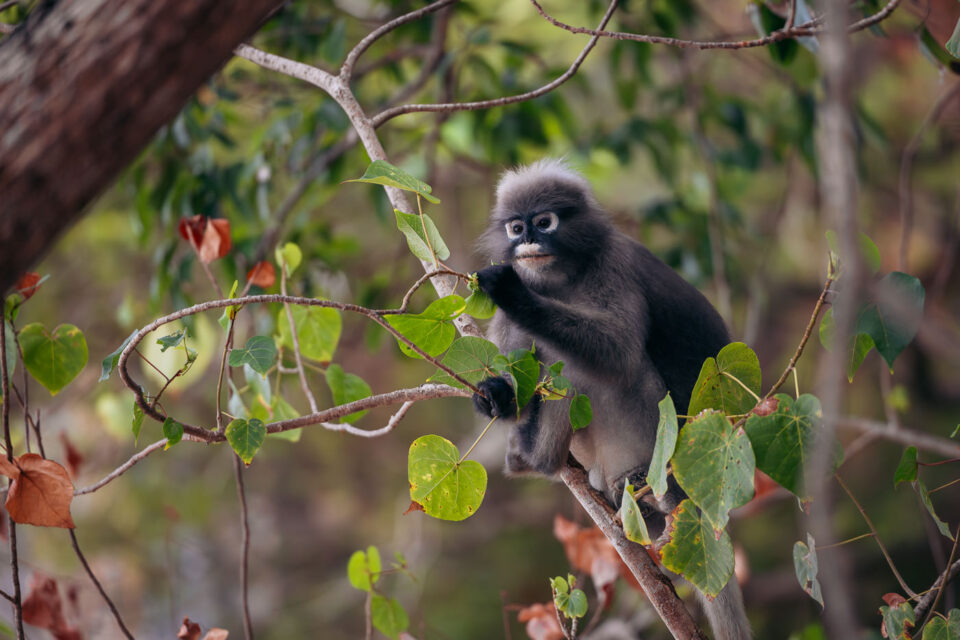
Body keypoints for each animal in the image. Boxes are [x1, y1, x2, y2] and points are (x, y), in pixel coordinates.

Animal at [471, 159, 750, 640]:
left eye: (545, 222)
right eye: (516, 226)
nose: (526, 241)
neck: (561, 279)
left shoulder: (613, 265)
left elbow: (617, 349)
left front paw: (513, 294)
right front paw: (496, 397)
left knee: (600, 364)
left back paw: (541, 458)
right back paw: (526, 456)